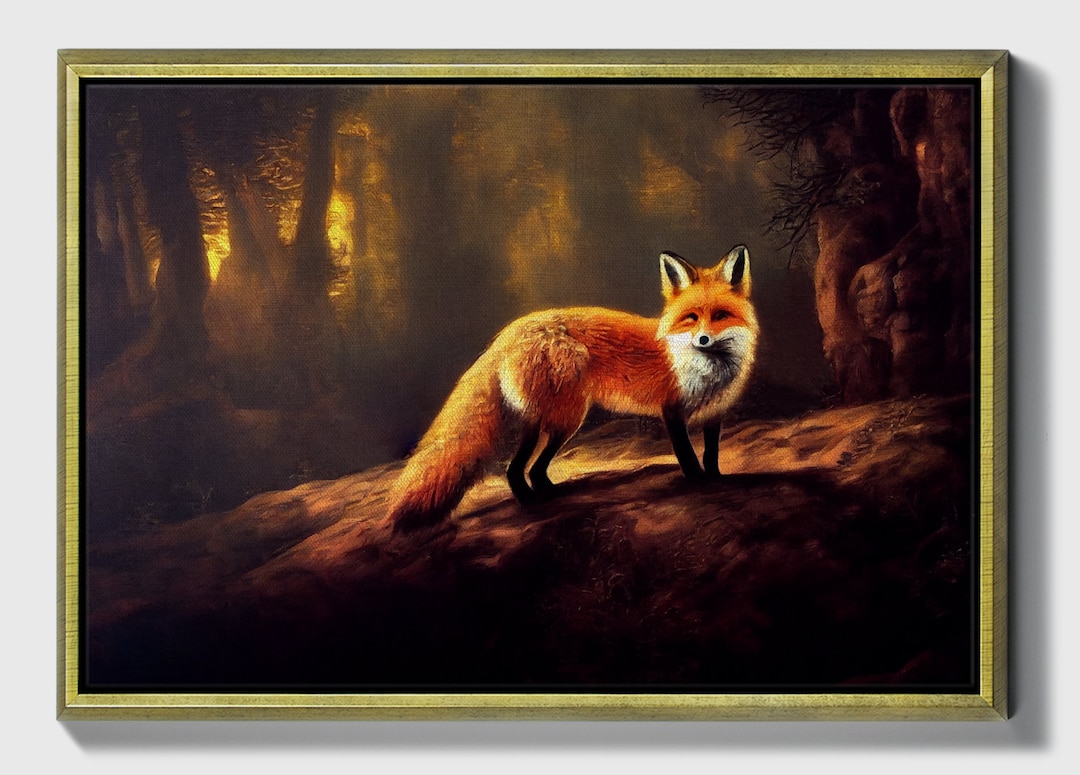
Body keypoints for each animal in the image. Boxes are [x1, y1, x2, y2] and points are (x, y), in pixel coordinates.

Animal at [385, 245, 758, 532]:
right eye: (691, 317)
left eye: (720, 315)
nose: (703, 339)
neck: (706, 366)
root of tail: (510, 332)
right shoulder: (672, 410)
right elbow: (688, 456)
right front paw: (697, 482)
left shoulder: (715, 412)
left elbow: (711, 454)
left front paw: (715, 480)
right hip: (561, 417)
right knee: (515, 469)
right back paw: (531, 503)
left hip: (556, 419)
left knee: (533, 469)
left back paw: (553, 494)